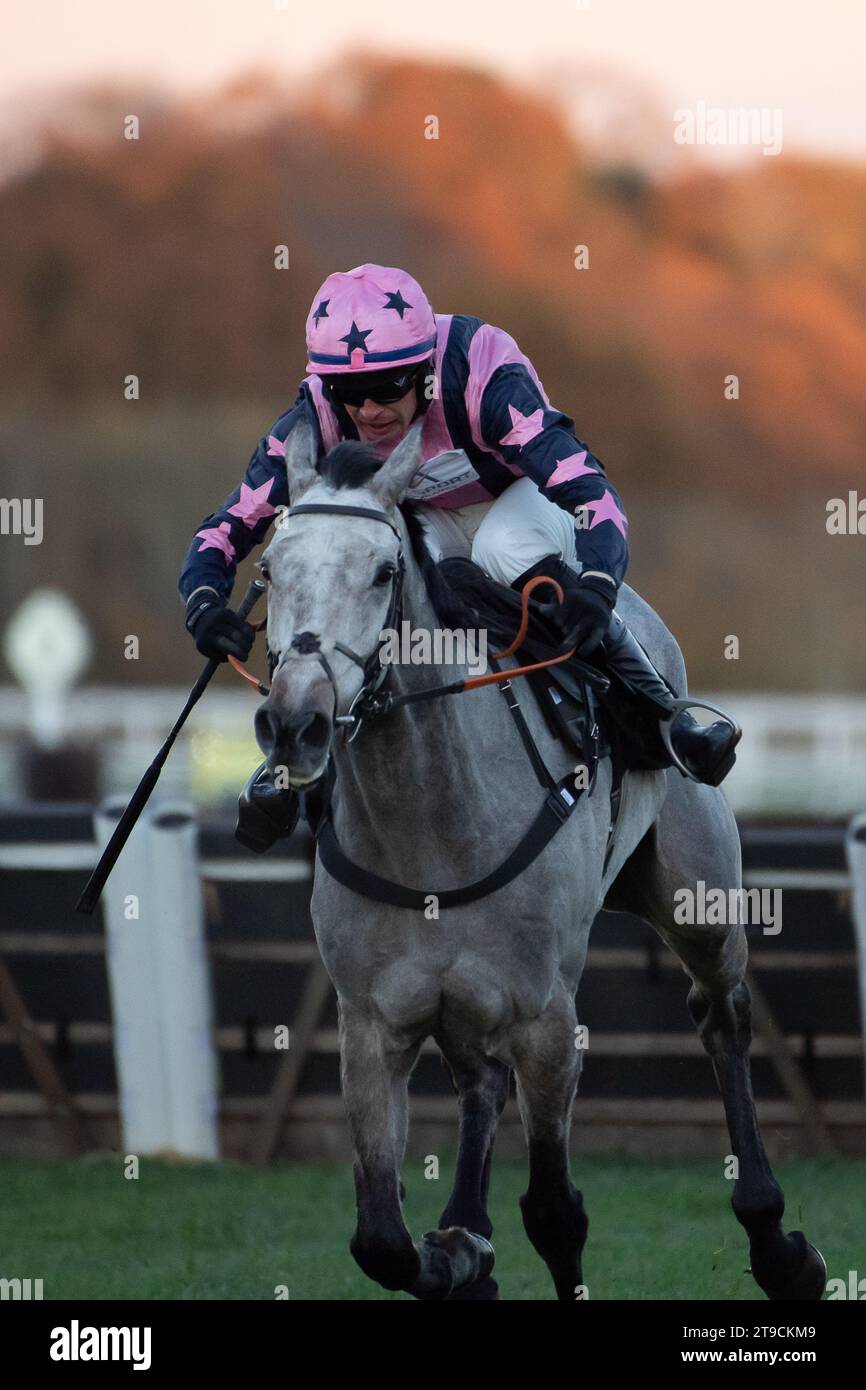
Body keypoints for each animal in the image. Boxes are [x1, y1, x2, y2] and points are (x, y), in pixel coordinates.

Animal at [253, 417, 826, 1302]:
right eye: (270, 570)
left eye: (383, 572)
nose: (295, 726)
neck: (431, 824)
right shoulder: (372, 1022)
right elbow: (380, 1237)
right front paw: (458, 1255)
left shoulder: (546, 1016)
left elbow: (556, 1211)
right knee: (479, 1082)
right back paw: (466, 1227)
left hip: (697, 898)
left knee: (721, 1015)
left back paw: (777, 1242)